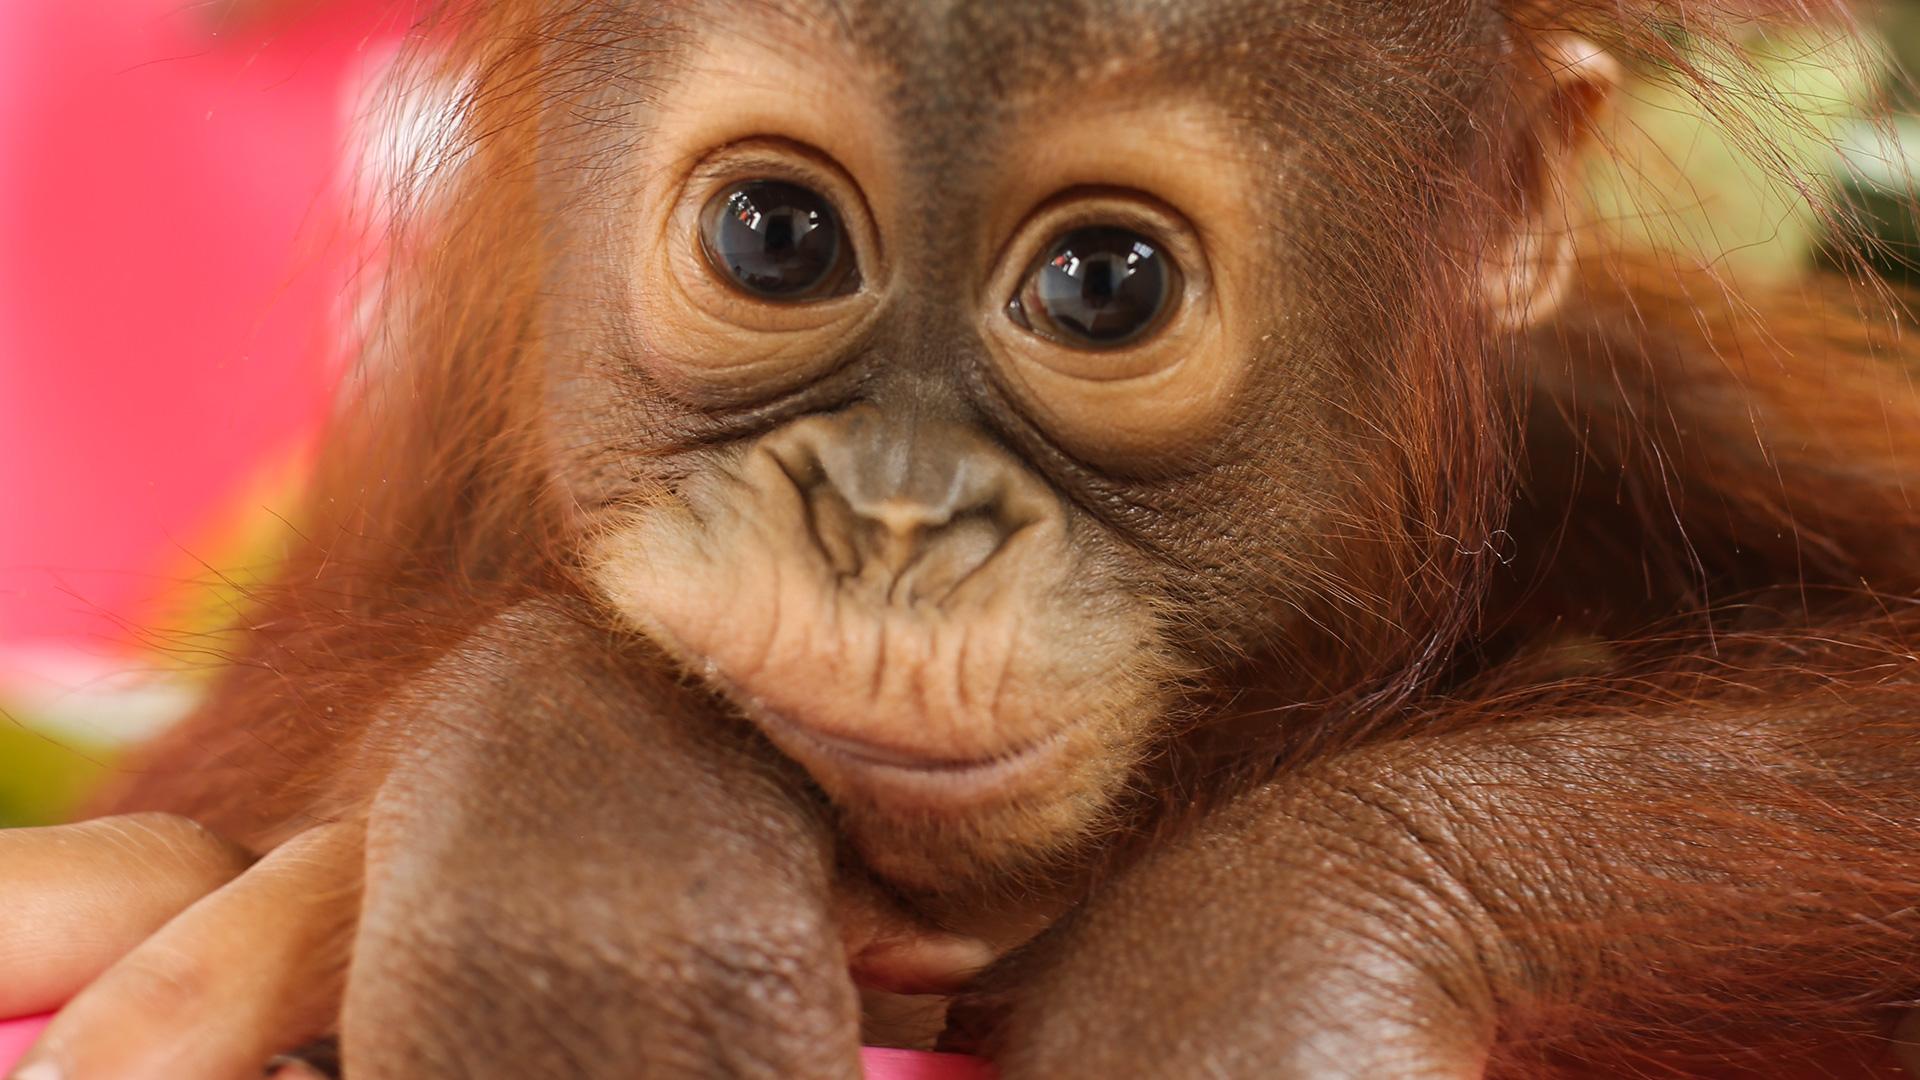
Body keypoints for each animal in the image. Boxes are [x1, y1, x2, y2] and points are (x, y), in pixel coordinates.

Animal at [3, 0, 1920, 1076]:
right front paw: (596, 893)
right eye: (777, 237)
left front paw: (1244, 976)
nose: (892, 524)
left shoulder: (1625, 403)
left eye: (1105, 283)